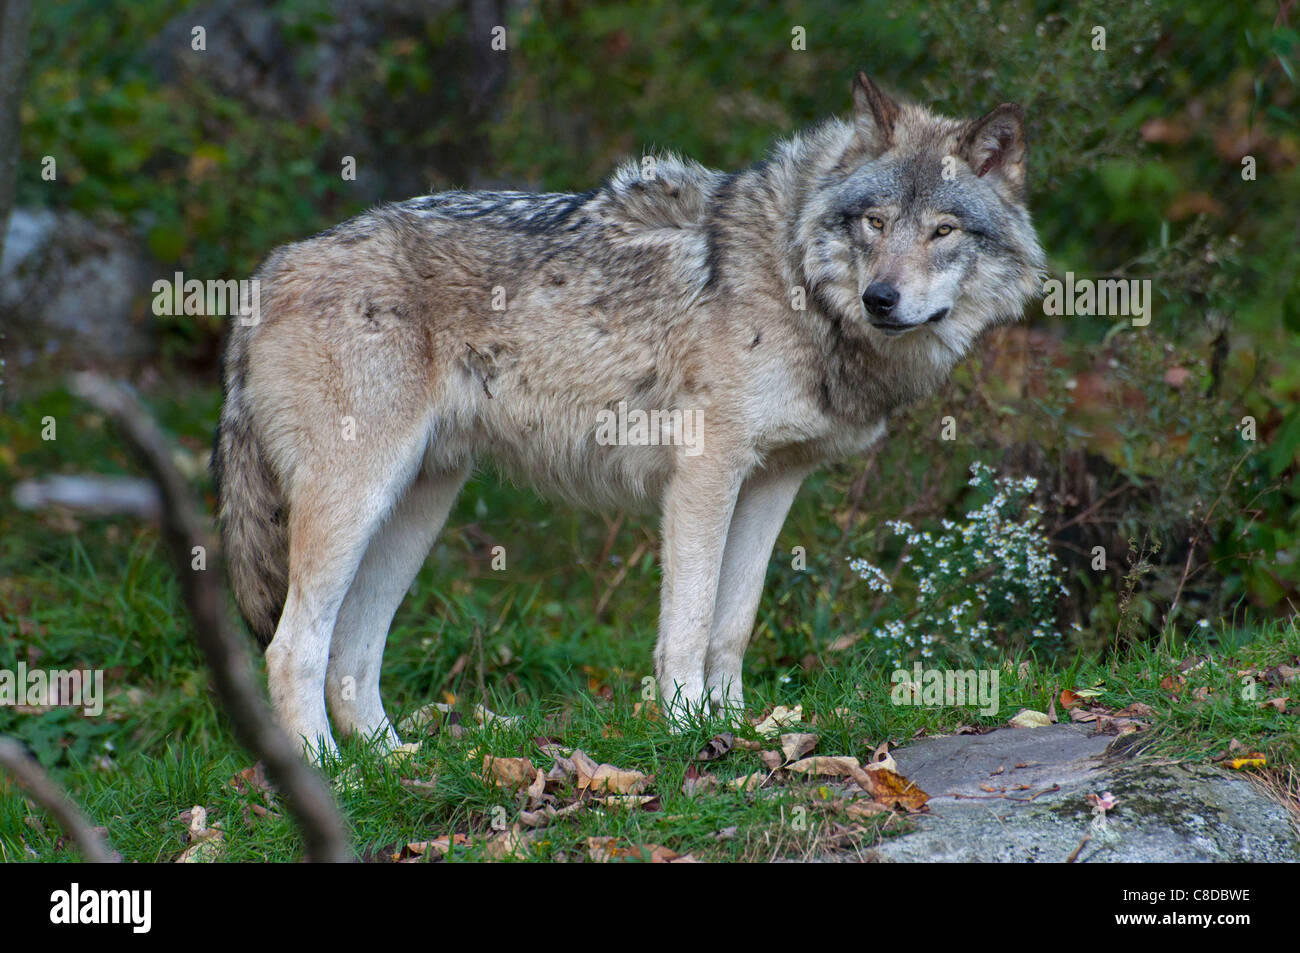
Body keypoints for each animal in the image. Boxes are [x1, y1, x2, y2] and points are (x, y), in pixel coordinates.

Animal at [213, 73, 1044, 758]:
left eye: (942, 229)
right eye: (873, 221)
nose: (881, 299)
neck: (793, 276)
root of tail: (271, 268)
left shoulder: (773, 480)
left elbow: (732, 624)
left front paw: (738, 730)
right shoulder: (704, 473)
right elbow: (688, 625)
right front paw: (688, 731)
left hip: (418, 507)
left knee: (351, 654)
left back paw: (397, 763)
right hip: (358, 499)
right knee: (292, 647)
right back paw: (330, 775)